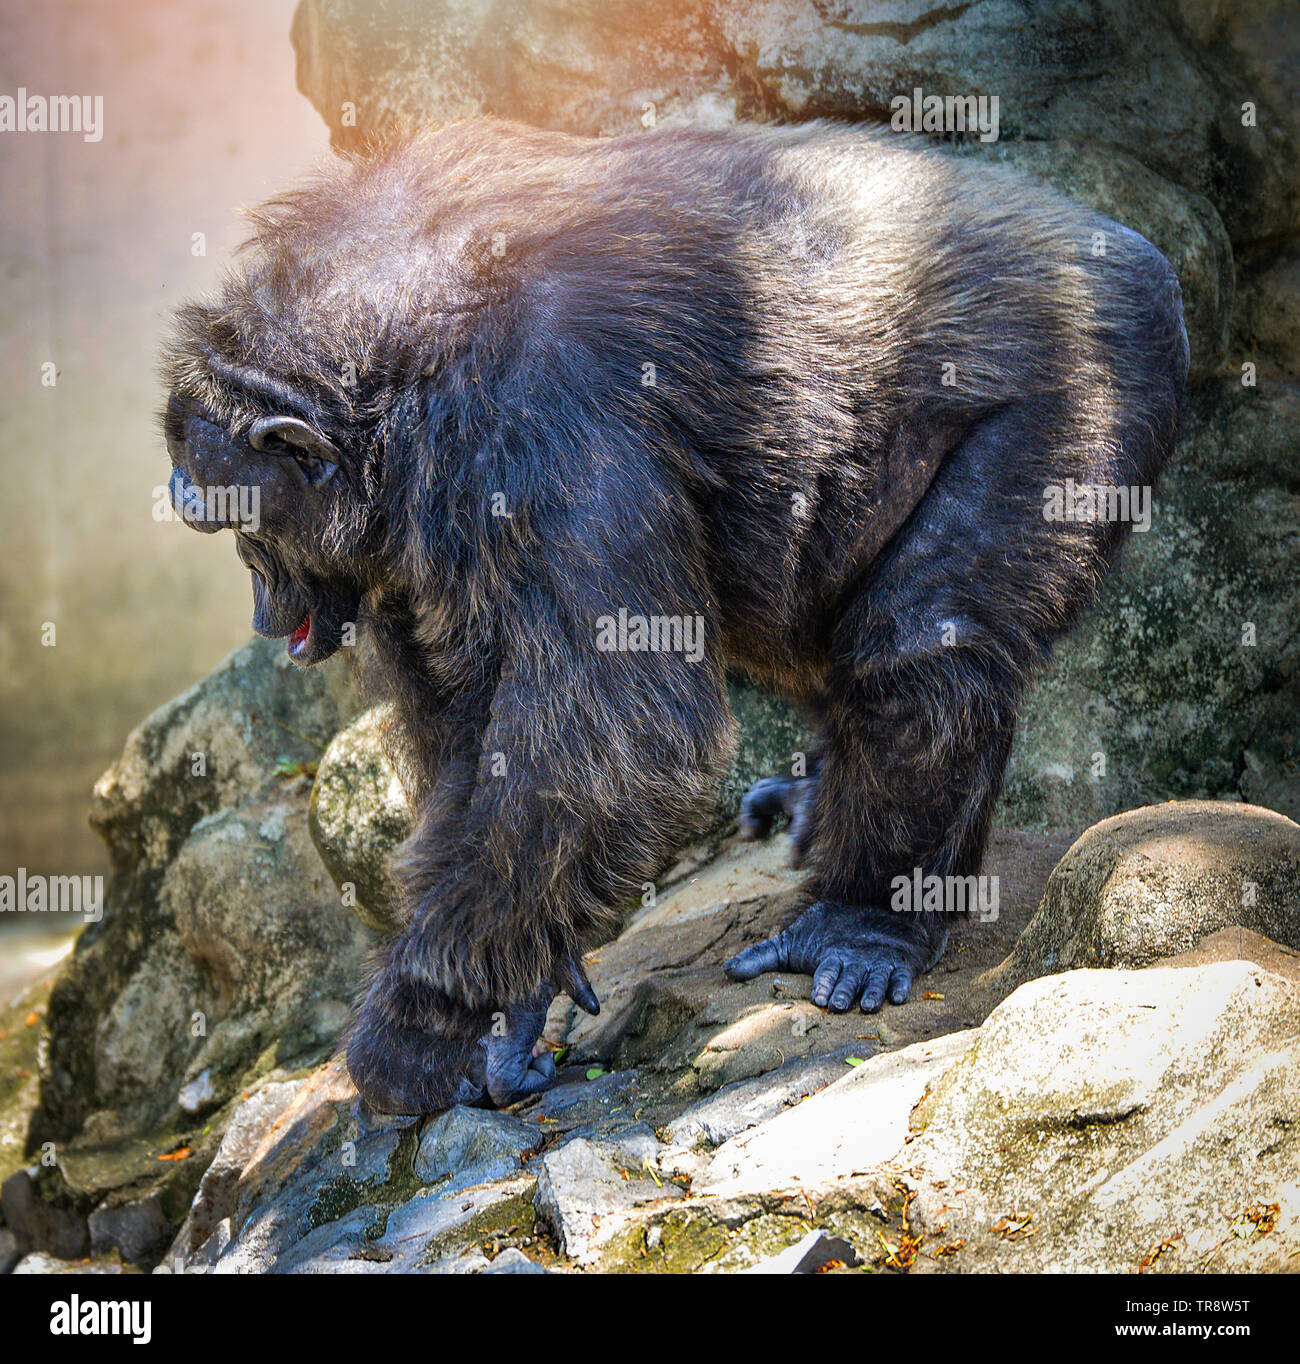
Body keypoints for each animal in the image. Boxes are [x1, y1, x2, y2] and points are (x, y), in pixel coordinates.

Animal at [162, 118, 1188, 1114]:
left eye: (238, 525)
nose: (262, 608)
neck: (400, 375)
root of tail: (1132, 248)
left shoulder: (548, 427)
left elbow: (617, 736)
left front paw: (415, 1032)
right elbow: (477, 740)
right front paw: (510, 1007)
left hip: (1079, 397)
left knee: (922, 641)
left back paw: (864, 923)